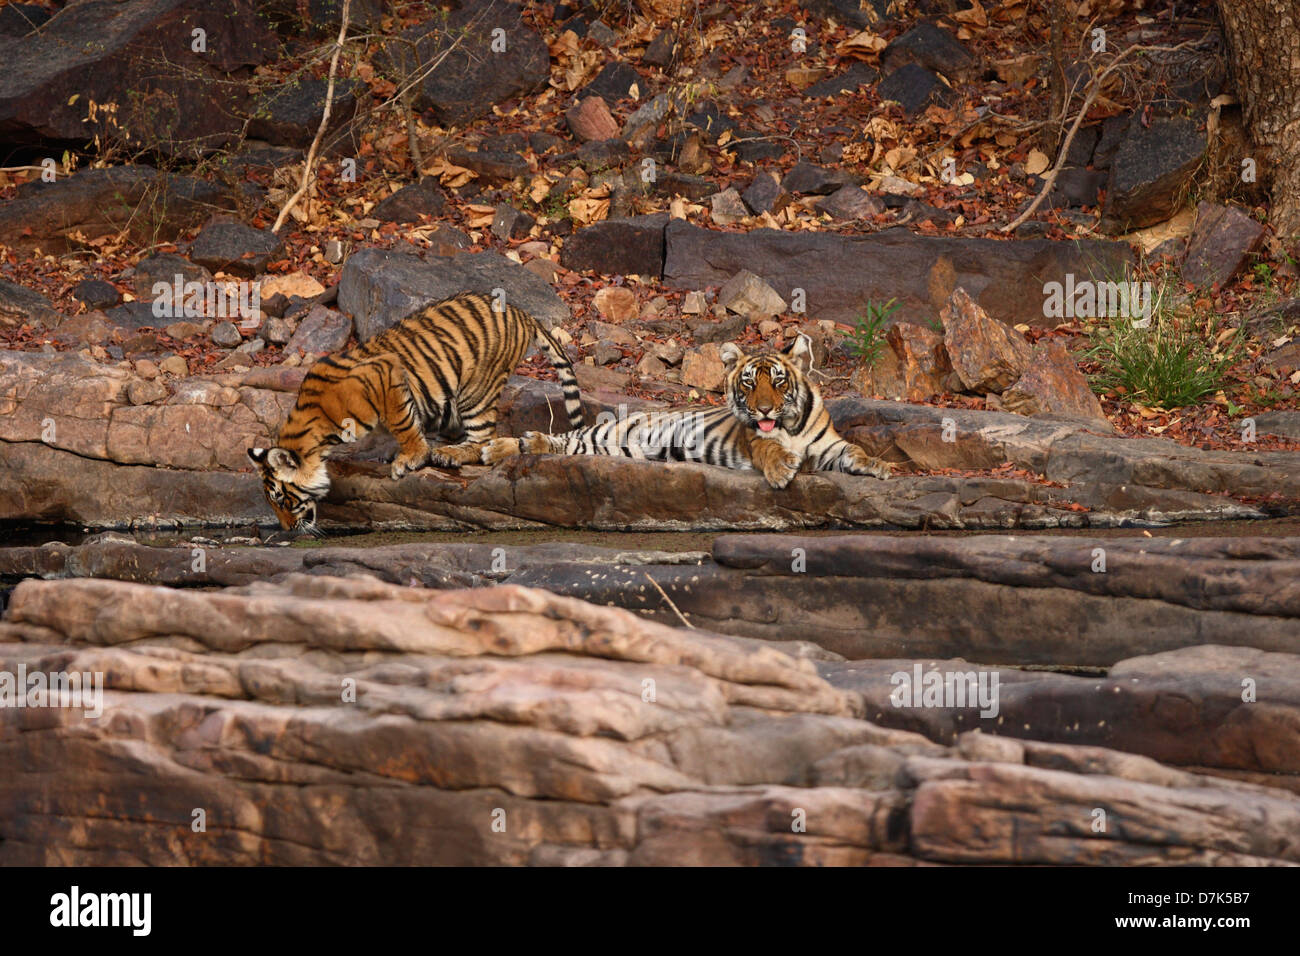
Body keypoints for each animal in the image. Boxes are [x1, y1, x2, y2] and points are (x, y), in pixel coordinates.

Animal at [248, 292, 583, 532]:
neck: (318, 433)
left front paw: (410, 458)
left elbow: (403, 424)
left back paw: (449, 454)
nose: (287, 529)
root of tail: (521, 313)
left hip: (476, 390)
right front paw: (383, 453)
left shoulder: (386, 375)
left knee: (483, 440)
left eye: (281, 498)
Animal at [480, 333, 890, 488]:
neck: (788, 425)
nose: (762, 411)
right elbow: (770, 449)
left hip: (612, 448)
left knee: (556, 443)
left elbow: (854, 450)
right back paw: (488, 449)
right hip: (605, 433)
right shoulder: (756, 442)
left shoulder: (829, 447)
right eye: (747, 383)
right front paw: (780, 470)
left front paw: (880, 466)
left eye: (778, 381)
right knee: (553, 437)